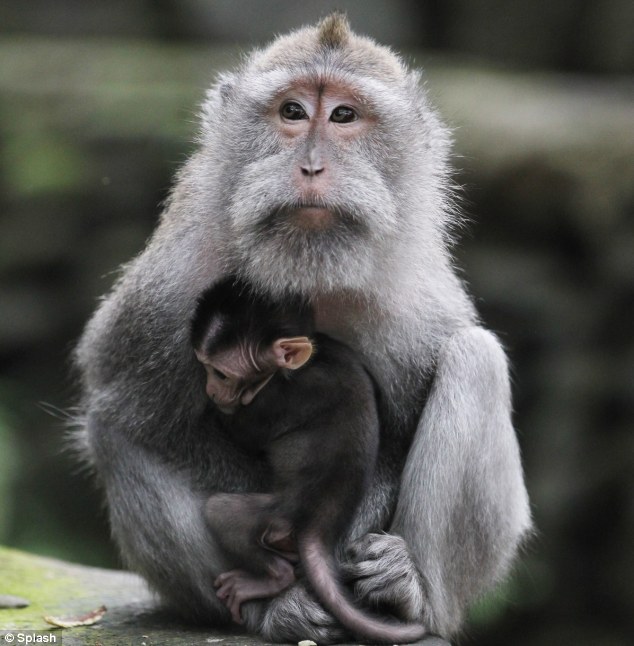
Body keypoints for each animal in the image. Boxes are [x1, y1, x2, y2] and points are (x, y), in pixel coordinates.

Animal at [190, 277, 427, 644]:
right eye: (205, 367)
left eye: (222, 374)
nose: (212, 392)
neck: (310, 361)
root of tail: (317, 528)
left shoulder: (281, 398)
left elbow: (243, 432)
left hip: (279, 516)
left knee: (222, 511)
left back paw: (273, 577)